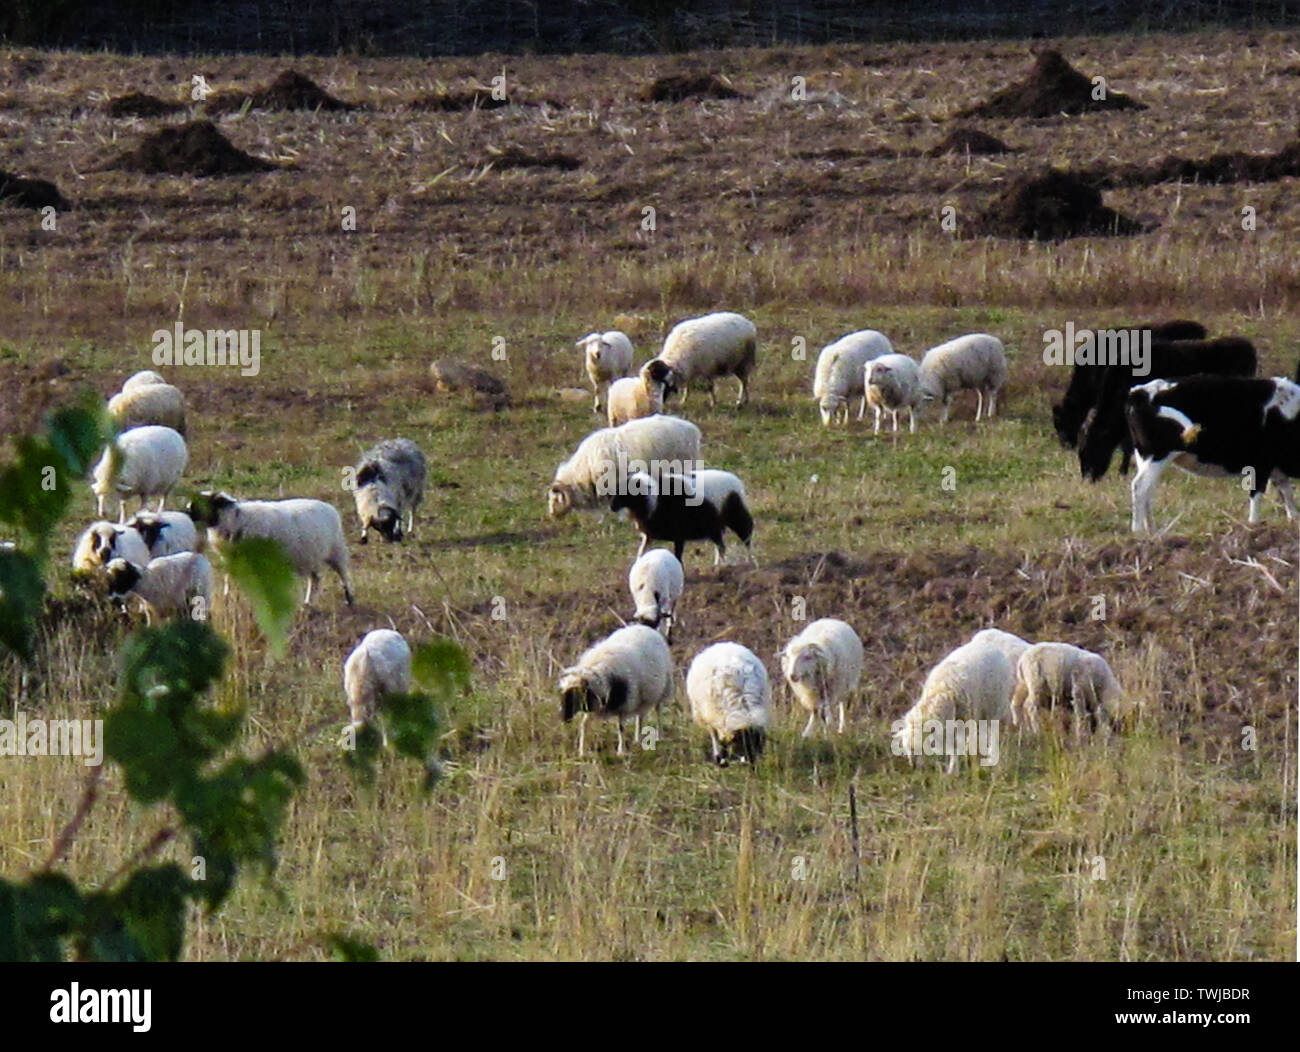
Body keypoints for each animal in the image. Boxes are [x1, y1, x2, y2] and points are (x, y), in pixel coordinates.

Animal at [187, 491, 354, 606]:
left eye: (203, 502)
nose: (186, 512)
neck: (235, 520)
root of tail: (330, 508)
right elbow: (229, 581)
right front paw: (228, 597)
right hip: (311, 556)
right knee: (315, 579)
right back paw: (307, 603)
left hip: (336, 550)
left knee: (343, 574)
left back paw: (349, 599)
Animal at [547, 414, 701, 518]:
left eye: (555, 499)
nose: (552, 515)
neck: (585, 465)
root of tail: (693, 429)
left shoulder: (609, 480)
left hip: (684, 464)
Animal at [558, 624, 674, 756]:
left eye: (576, 694)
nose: (564, 718)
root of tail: (644, 626)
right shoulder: (594, 706)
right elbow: (584, 725)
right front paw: (582, 752)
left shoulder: (626, 704)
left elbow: (621, 727)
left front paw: (621, 751)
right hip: (642, 697)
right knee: (640, 717)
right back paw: (637, 739)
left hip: (663, 688)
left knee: (658, 710)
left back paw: (660, 736)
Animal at [609, 468, 755, 566]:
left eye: (627, 491)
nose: (611, 507)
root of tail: (737, 483)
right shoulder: (649, 535)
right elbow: (641, 552)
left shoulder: (679, 535)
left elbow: (677, 556)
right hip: (715, 527)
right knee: (720, 545)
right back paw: (718, 565)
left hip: (736, 519)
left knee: (745, 539)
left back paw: (749, 562)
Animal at [893, 638, 1014, 773]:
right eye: (906, 748)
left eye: (919, 748)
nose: (913, 767)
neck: (939, 692)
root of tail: (994, 648)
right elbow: (952, 745)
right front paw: (954, 768)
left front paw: (954, 769)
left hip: (994, 704)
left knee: (993, 728)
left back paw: (992, 754)